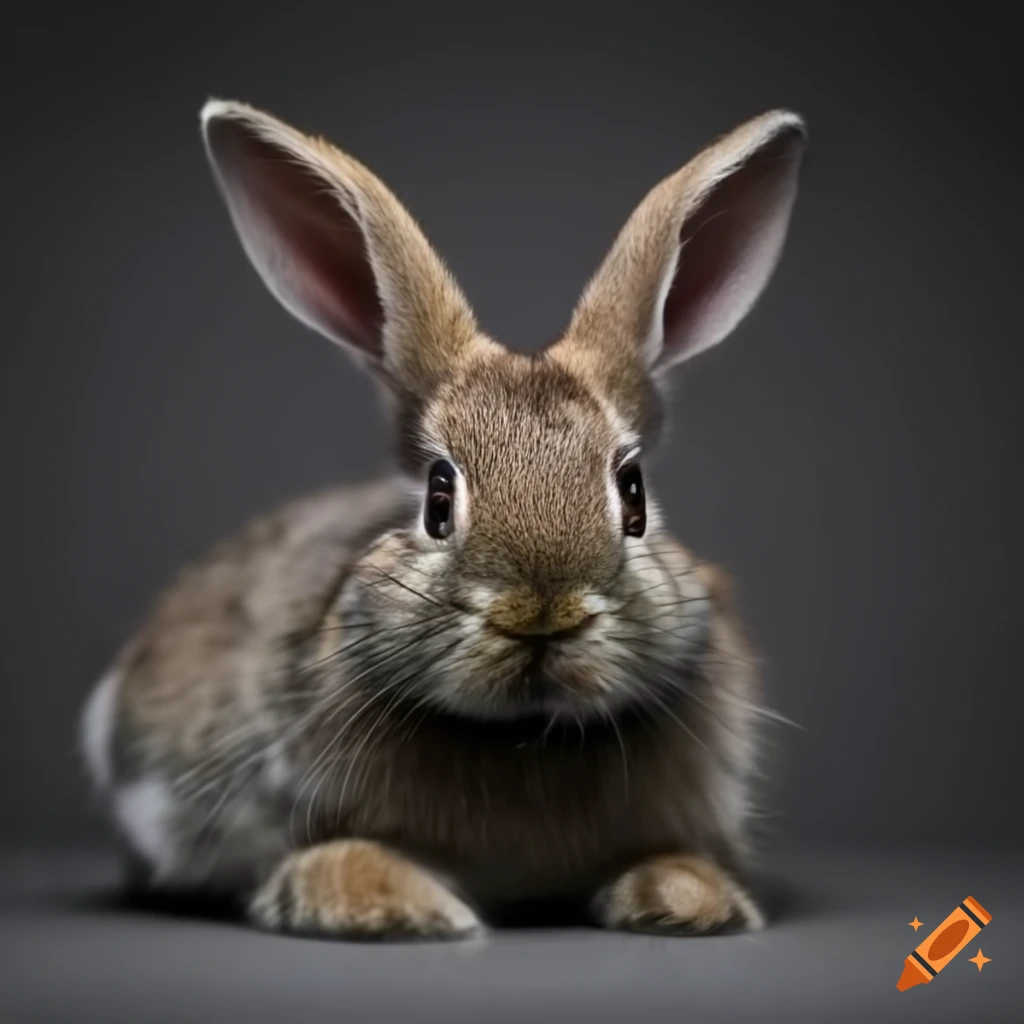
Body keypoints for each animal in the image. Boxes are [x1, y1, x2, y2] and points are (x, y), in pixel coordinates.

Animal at [80, 98, 806, 940]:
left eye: (633, 494)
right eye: (437, 496)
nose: (541, 612)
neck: (524, 733)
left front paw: (689, 901)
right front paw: (400, 907)